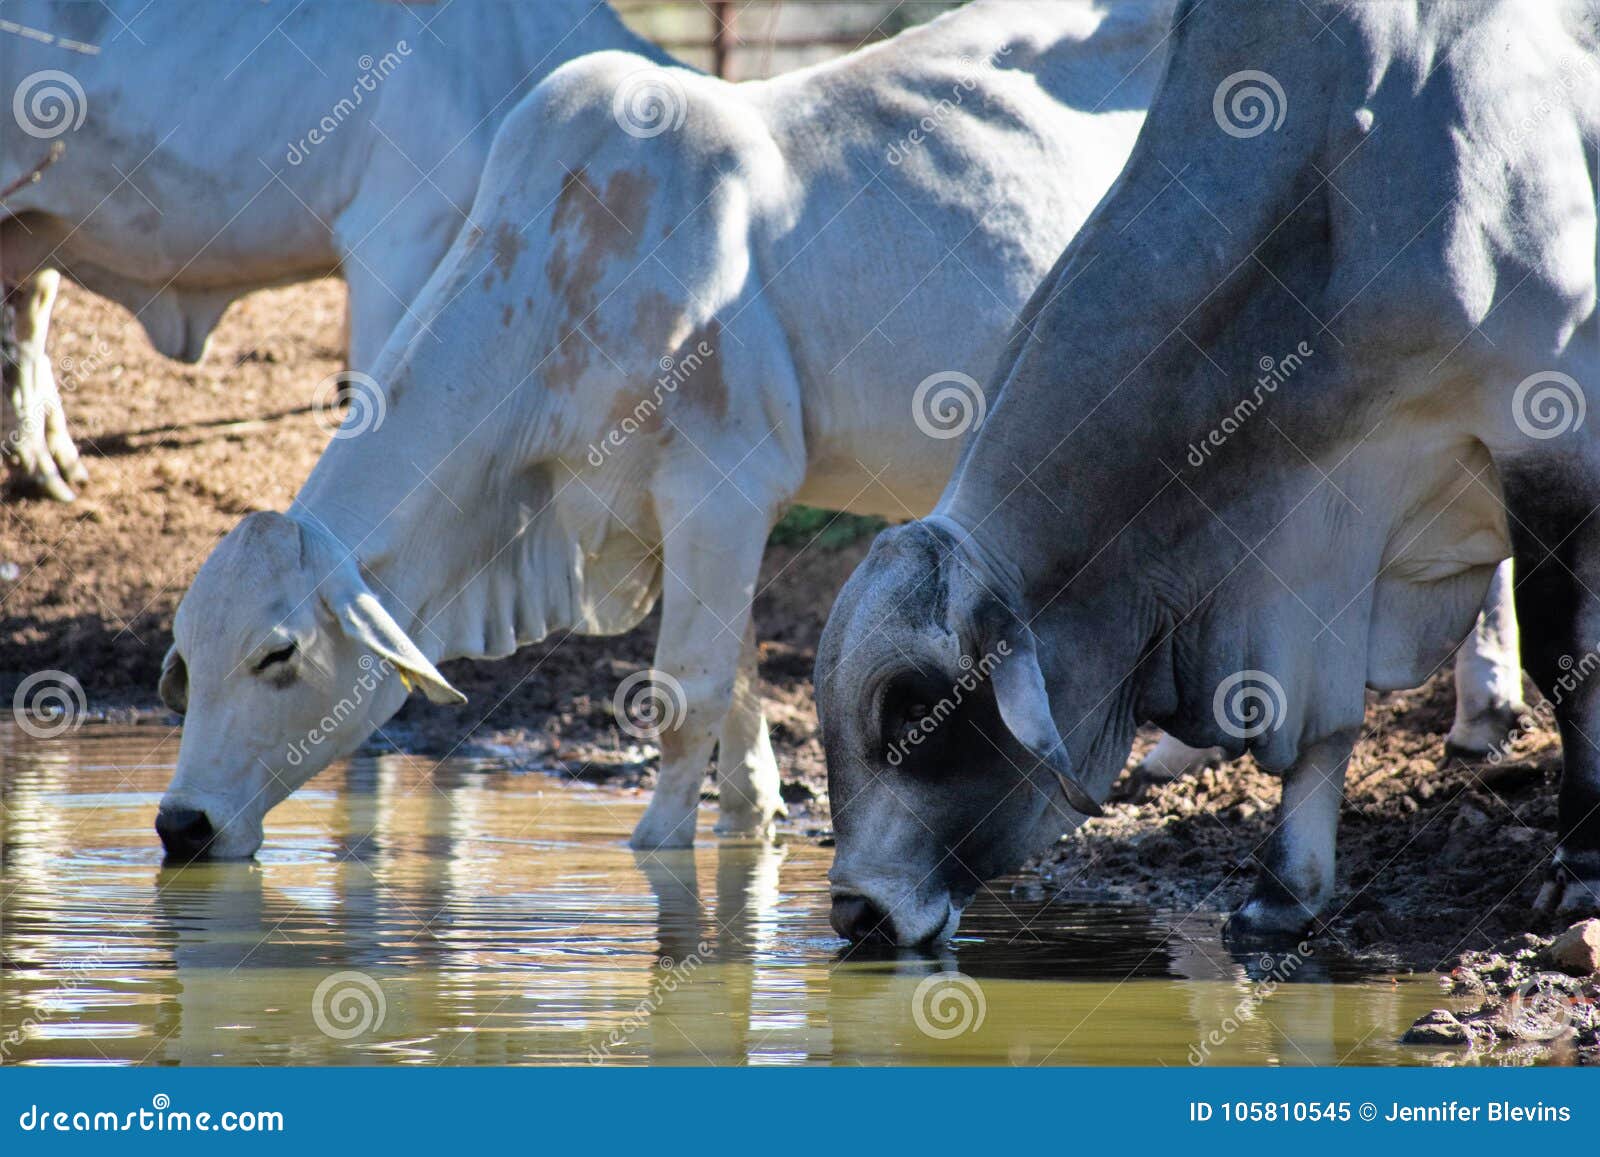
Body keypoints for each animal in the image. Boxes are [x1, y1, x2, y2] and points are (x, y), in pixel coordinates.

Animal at [148, 0, 1183, 860]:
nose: (179, 824)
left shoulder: (720, 491)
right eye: (185, 659)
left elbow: (689, 693)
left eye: (277, 652)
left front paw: (657, 851)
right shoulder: (678, 514)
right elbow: (738, 682)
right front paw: (752, 821)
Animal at [816, 0, 1598, 947]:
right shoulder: (1322, 532)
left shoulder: (1552, 428)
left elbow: (1568, 646)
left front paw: (1581, 863)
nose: (854, 911)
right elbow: (1324, 724)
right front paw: (1282, 893)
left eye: (910, 707)